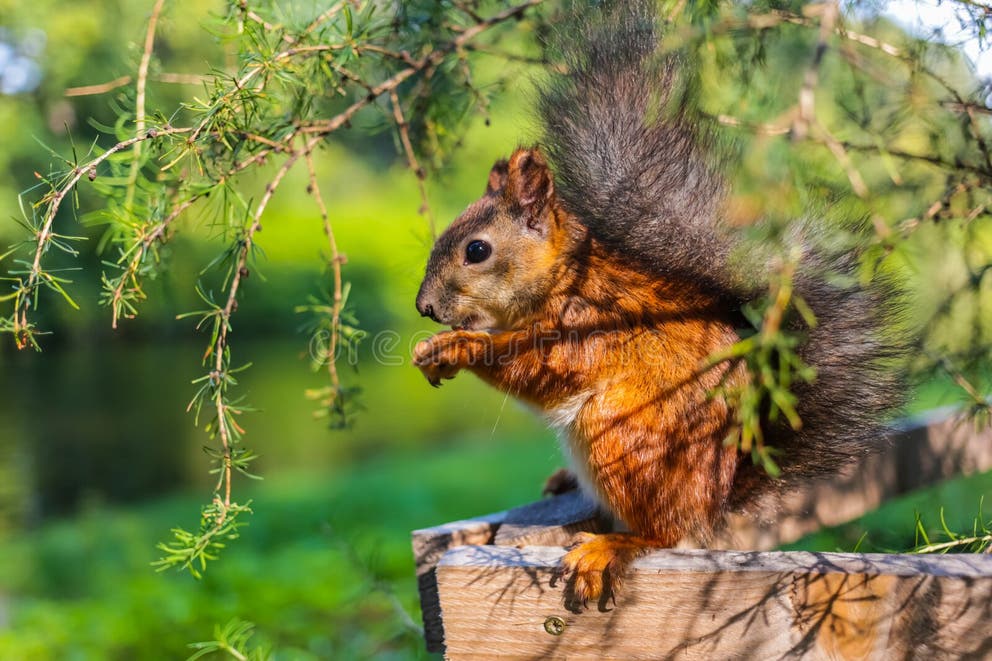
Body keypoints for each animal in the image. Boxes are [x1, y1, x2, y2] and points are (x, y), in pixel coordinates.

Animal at [413, 2, 904, 608]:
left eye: (476, 250)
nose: (425, 308)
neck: (563, 280)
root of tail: (715, 501)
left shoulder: (592, 325)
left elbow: (539, 367)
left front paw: (455, 347)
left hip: (624, 436)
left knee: (663, 534)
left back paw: (612, 546)